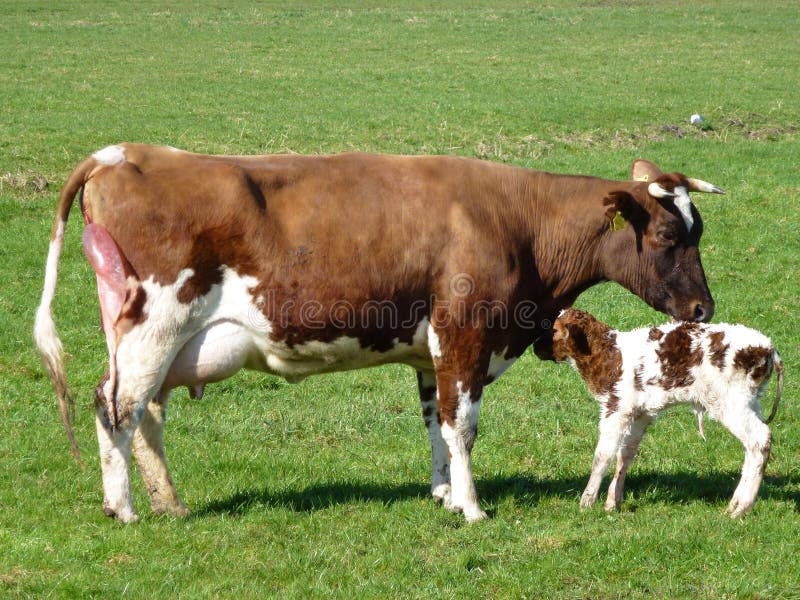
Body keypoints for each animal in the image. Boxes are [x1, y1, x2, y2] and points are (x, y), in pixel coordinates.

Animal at [34, 144, 724, 523]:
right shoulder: (465, 334)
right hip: (152, 327)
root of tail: (124, 153)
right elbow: (463, 425)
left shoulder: (431, 352)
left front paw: (445, 496)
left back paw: (169, 504)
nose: (701, 308)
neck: (520, 224)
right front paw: (473, 509)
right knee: (116, 408)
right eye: (668, 234)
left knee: (146, 414)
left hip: (162, 344)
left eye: (699, 230)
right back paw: (124, 508)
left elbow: (436, 422)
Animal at [551, 308, 783, 517]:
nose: (542, 351)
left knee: (760, 439)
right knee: (750, 447)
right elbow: (625, 455)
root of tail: (769, 348)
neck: (608, 353)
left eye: (554, 329)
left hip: (732, 402)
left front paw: (586, 502)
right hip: (750, 402)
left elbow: (602, 456)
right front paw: (612, 503)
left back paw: (741, 508)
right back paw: (734, 504)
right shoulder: (640, 413)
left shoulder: (616, 407)